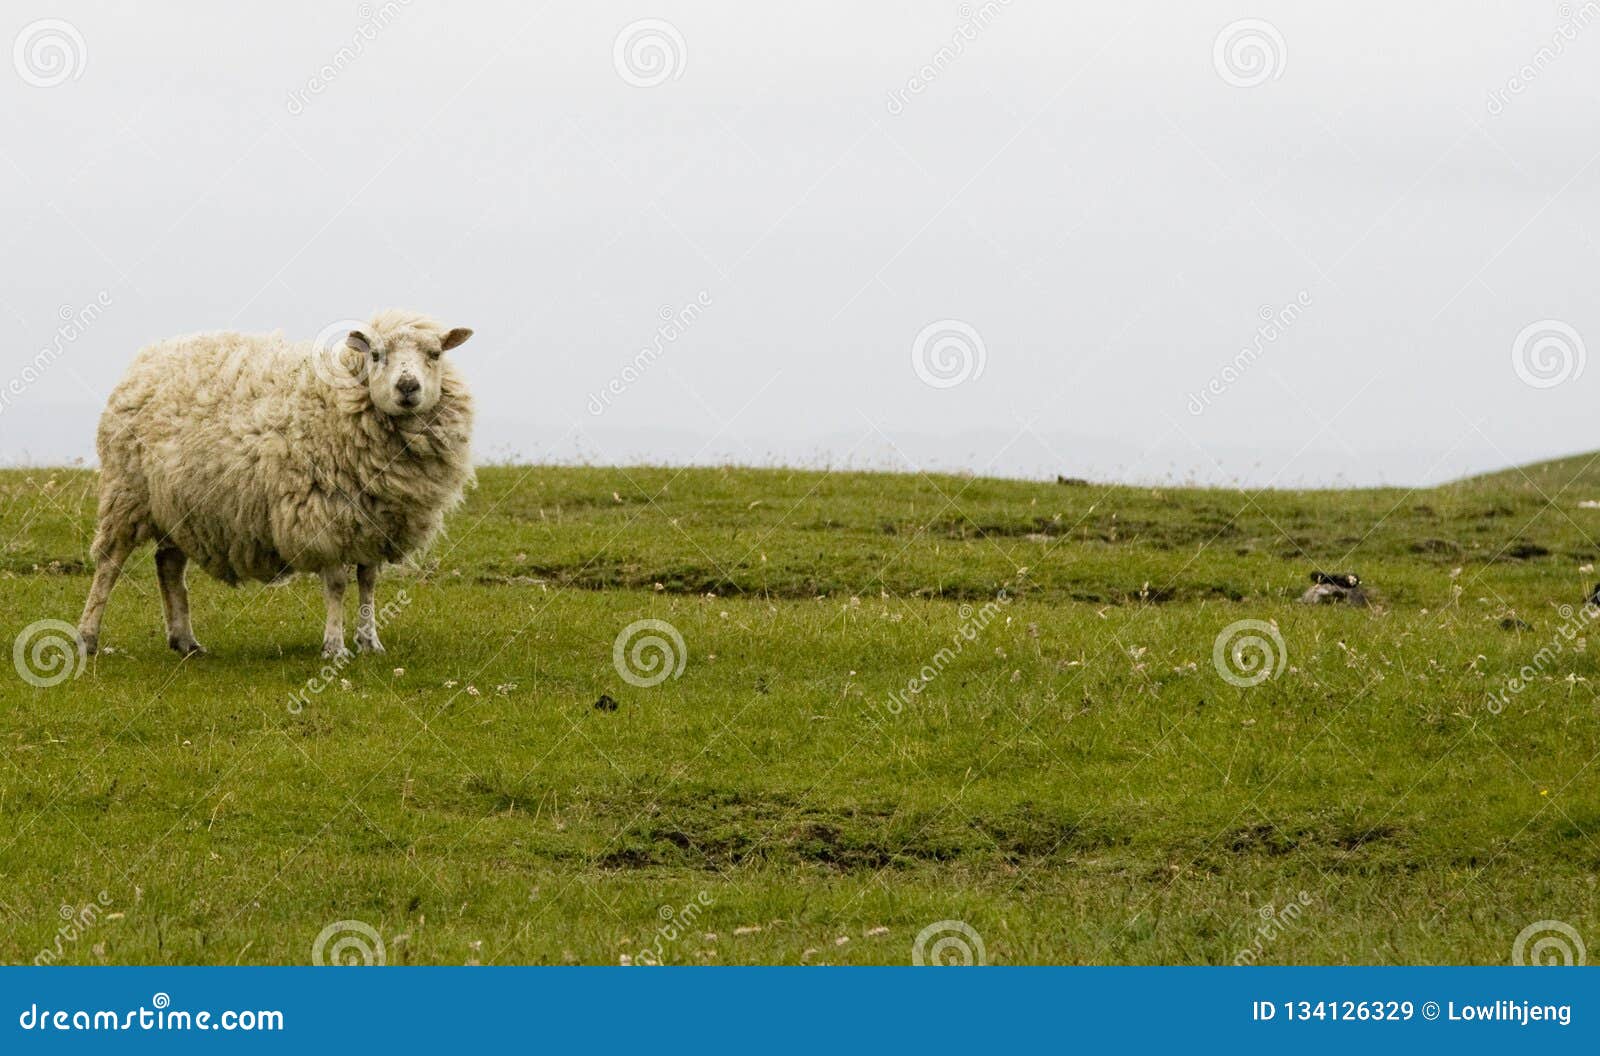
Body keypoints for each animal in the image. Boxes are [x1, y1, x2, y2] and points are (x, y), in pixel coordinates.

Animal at [77, 310, 475, 659]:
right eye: (376, 355)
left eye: (435, 354)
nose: (407, 387)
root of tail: (147, 359)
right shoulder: (323, 517)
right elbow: (337, 585)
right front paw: (334, 647)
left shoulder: (372, 524)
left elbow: (368, 583)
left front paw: (370, 643)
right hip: (127, 493)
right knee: (110, 564)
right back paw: (88, 638)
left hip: (177, 504)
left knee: (169, 566)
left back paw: (185, 641)